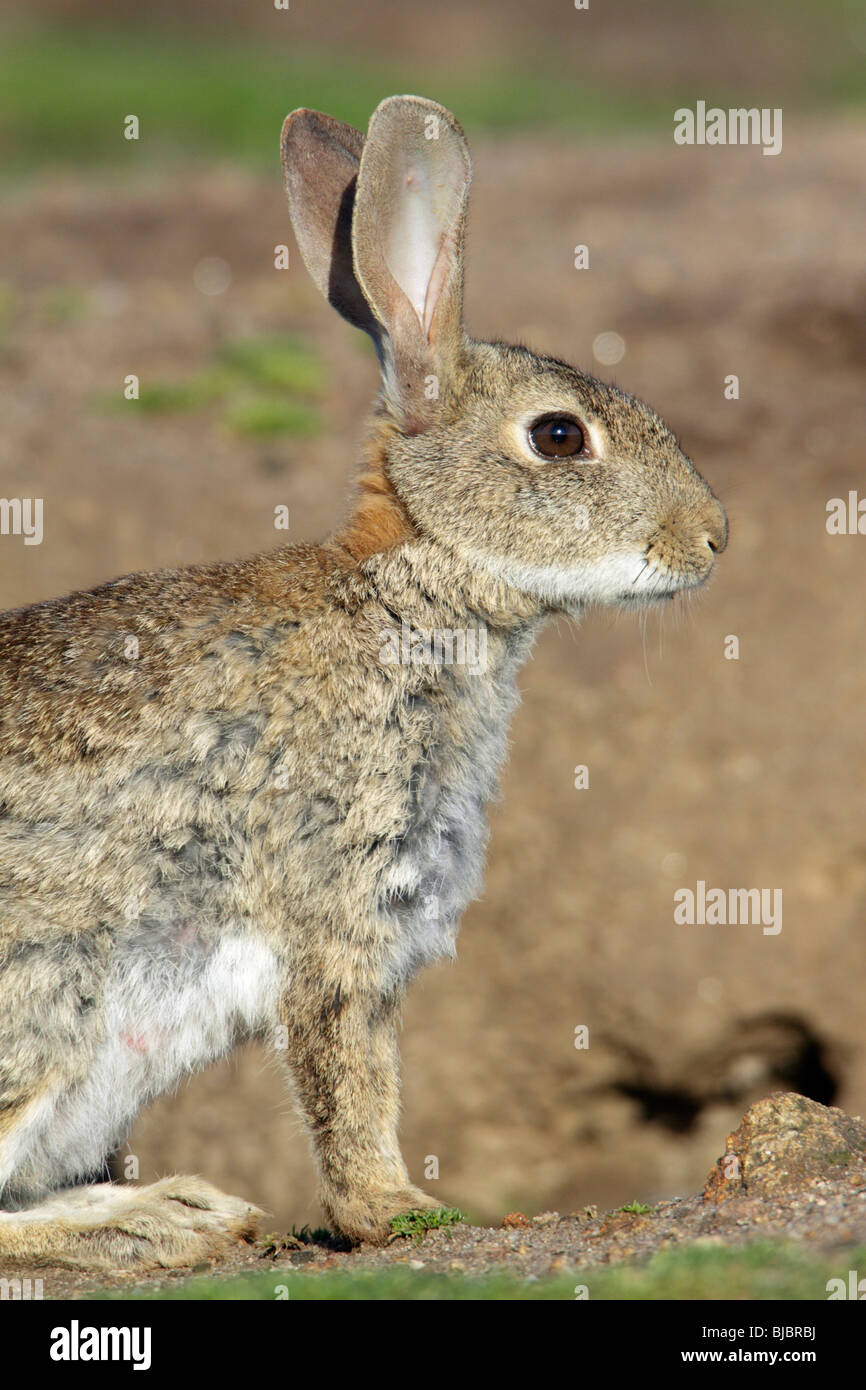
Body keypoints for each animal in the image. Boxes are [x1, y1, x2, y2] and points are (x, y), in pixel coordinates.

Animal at [0, 94, 726, 1270]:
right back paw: (166, 1218)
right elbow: (348, 1080)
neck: (402, 594)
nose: (713, 538)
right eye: (558, 435)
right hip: (49, 1002)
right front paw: (392, 1210)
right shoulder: (338, 908)